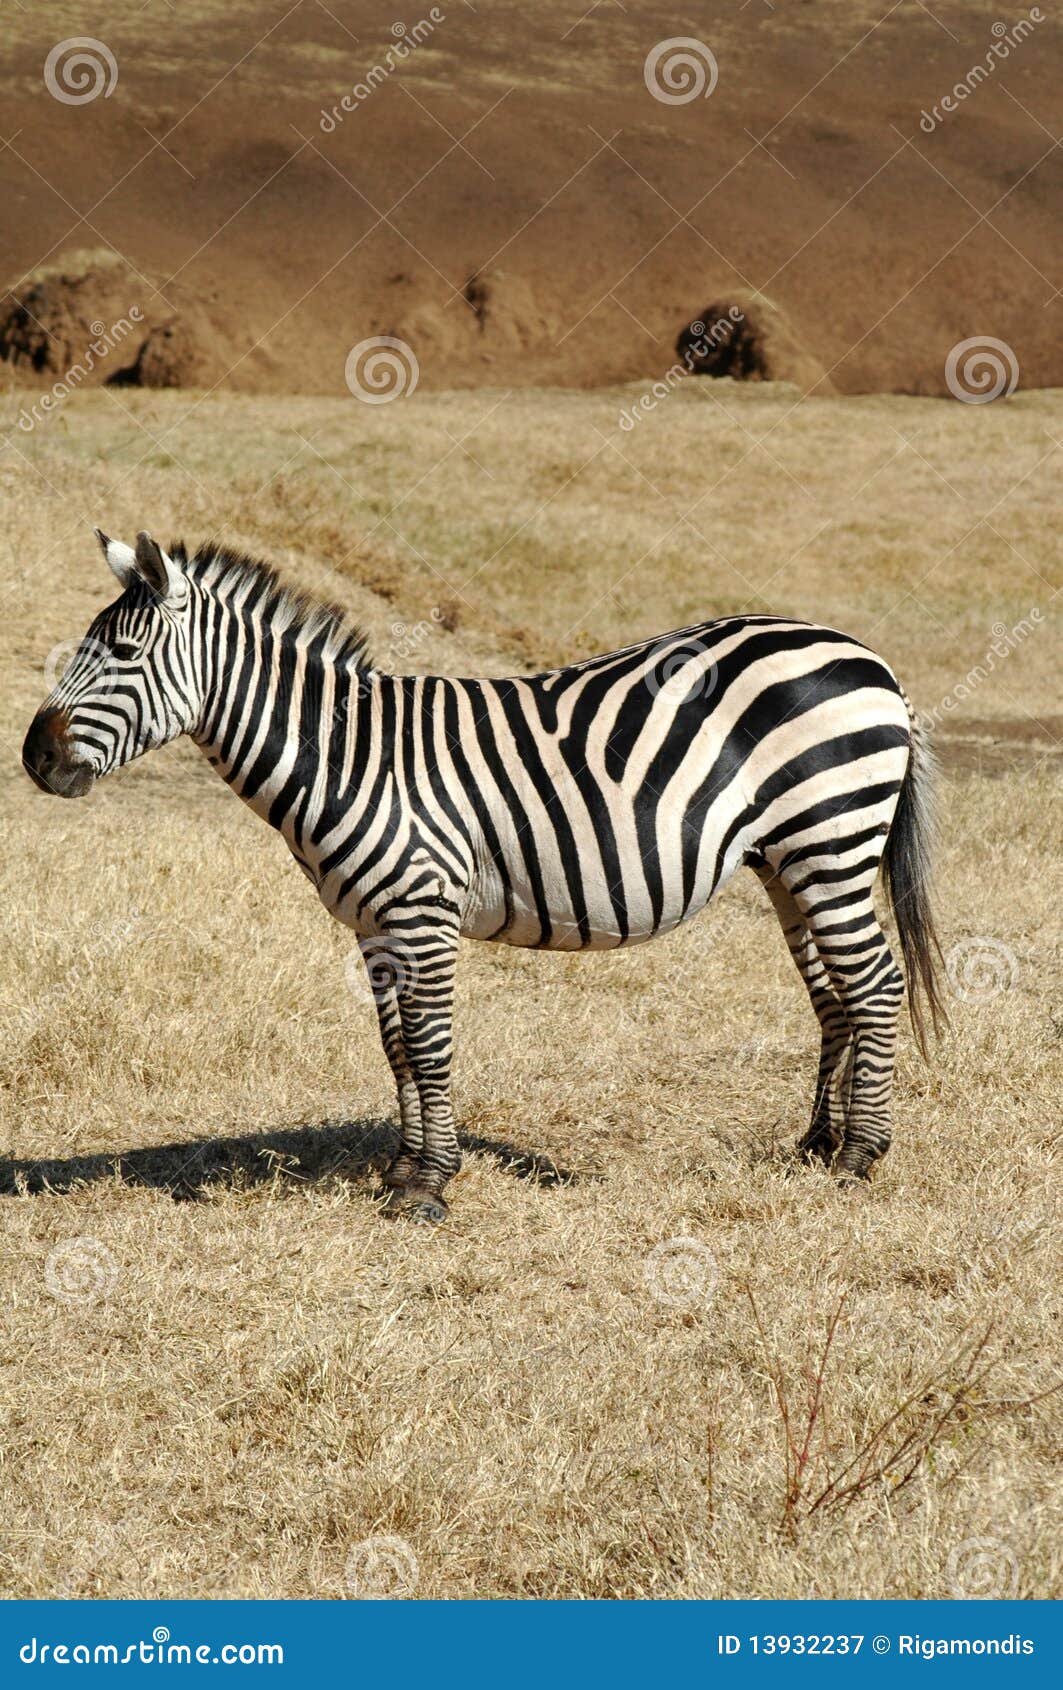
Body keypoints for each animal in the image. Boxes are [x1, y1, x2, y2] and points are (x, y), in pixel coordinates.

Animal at [23, 529, 946, 1223]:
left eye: (122, 651)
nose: (34, 758)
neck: (345, 754)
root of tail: (864, 657)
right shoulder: (373, 924)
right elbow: (396, 1048)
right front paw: (402, 1171)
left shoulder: (421, 908)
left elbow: (429, 1046)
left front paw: (430, 1186)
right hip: (786, 860)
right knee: (832, 995)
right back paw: (815, 1144)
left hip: (829, 836)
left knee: (874, 984)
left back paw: (860, 1157)